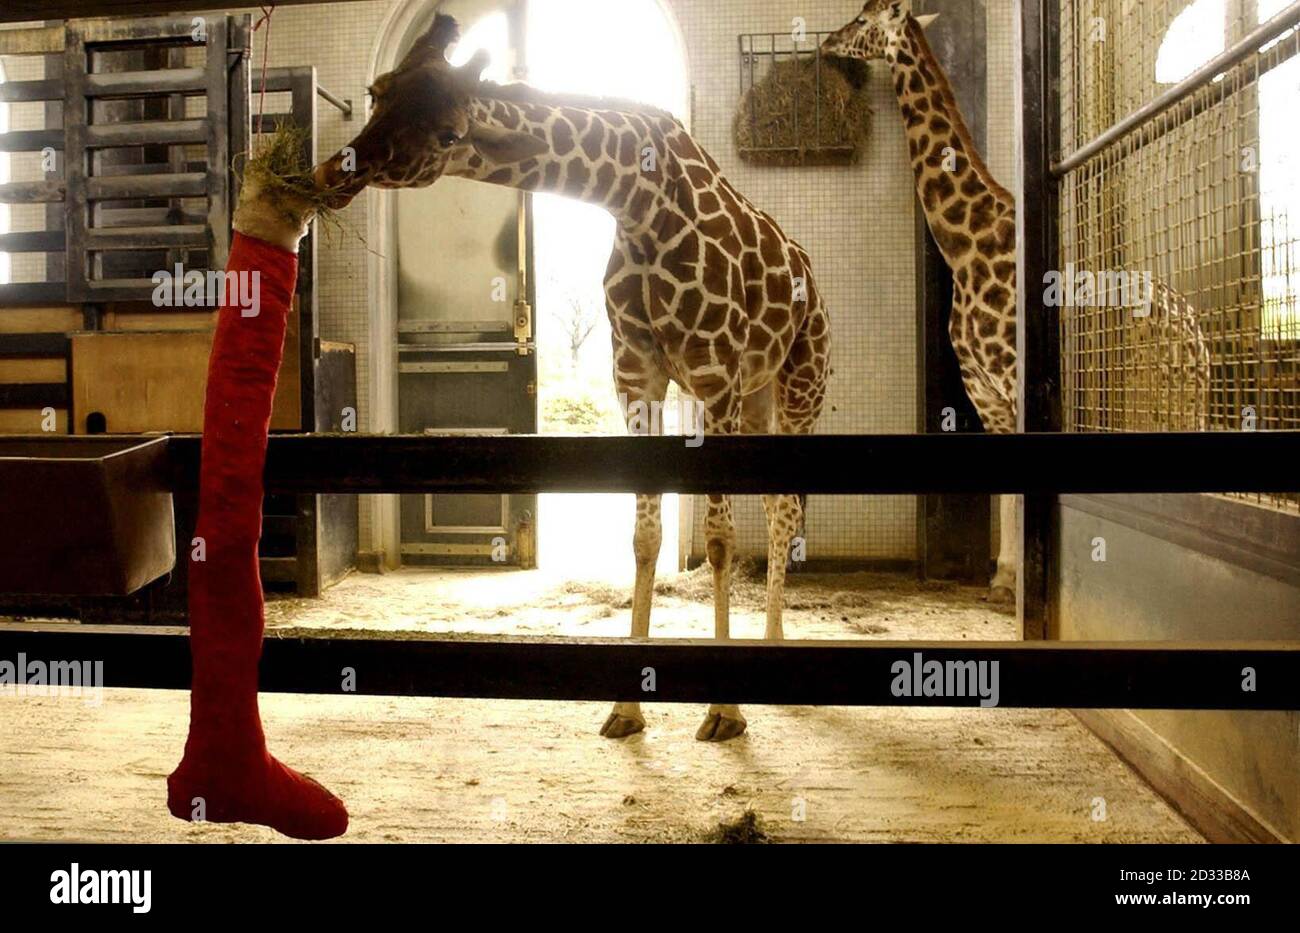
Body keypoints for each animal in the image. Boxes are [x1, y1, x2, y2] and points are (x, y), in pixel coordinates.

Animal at [315, 14, 831, 741]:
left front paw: (724, 712)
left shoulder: (713, 377)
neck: (639, 201)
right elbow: (644, 537)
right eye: (377, 91)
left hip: (798, 385)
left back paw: (777, 658)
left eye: (449, 133)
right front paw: (626, 708)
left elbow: (720, 540)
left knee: (786, 508)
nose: (331, 174)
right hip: (759, 397)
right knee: (778, 504)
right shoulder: (637, 380)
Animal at [821, 0, 1209, 601]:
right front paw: (1005, 575)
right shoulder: (982, 384)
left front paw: (1011, 581)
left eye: (864, 18)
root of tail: (1196, 333)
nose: (827, 40)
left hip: (1154, 400)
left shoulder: (1005, 377)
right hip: (1175, 402)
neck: (965, 245)